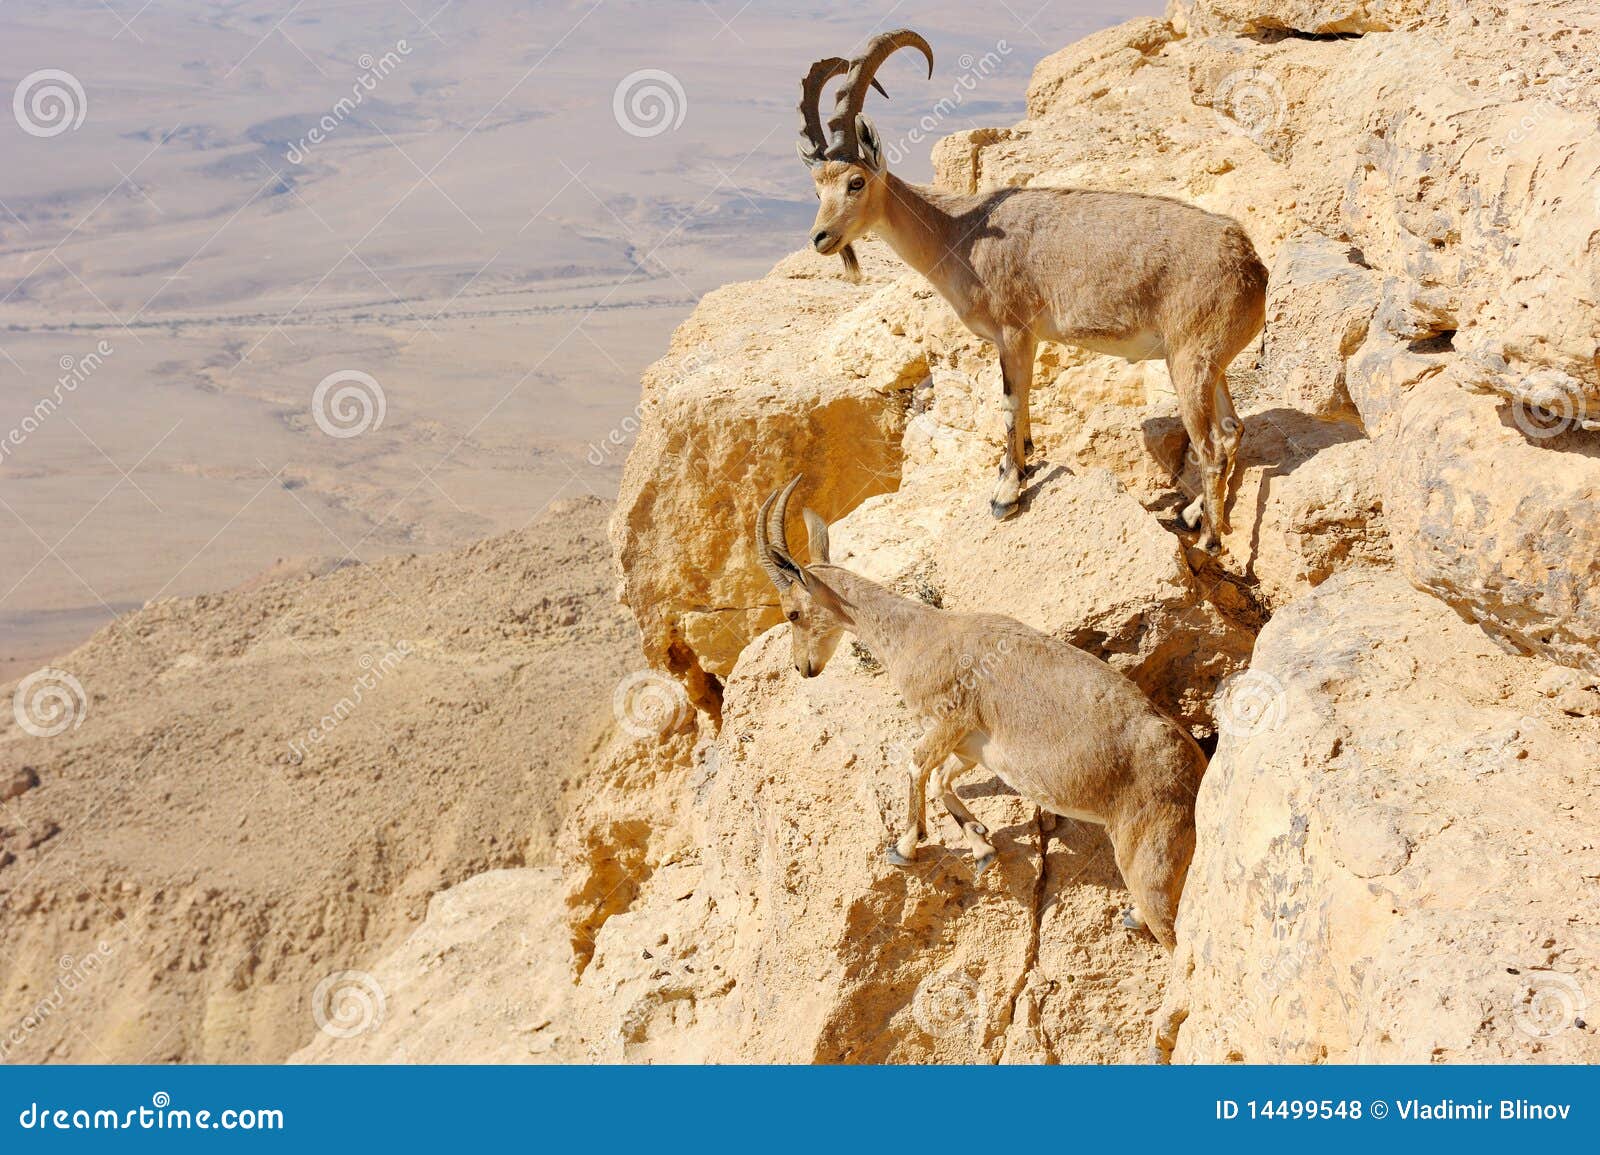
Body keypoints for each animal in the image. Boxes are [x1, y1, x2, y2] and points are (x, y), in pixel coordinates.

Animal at [756, 477, 1207, 949]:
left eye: (792, 612)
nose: (803, 668)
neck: (919, 635)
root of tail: (1195, 769)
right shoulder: (972, 747)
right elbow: (941, 780)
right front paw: (982, 847)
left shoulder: (948, 718)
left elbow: (917, 766)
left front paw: (904, 847)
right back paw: (1129, 916)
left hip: (1148, 858)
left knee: (1174, 937)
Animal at [797, 31, 1268, 552]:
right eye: (817, 189)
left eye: (856, 181)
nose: (820, 238)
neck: (957, 236)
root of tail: (1251, 265)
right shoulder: (1029, 339)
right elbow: (1021, 405)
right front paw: (1024, 463)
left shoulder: (1014, 331)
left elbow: (1009, 403)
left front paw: (1006, 494)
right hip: (1211, 362)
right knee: (1232, 430)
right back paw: (1191, 512)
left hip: (1188, 360)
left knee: (1209, 446)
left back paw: (1209, 538)